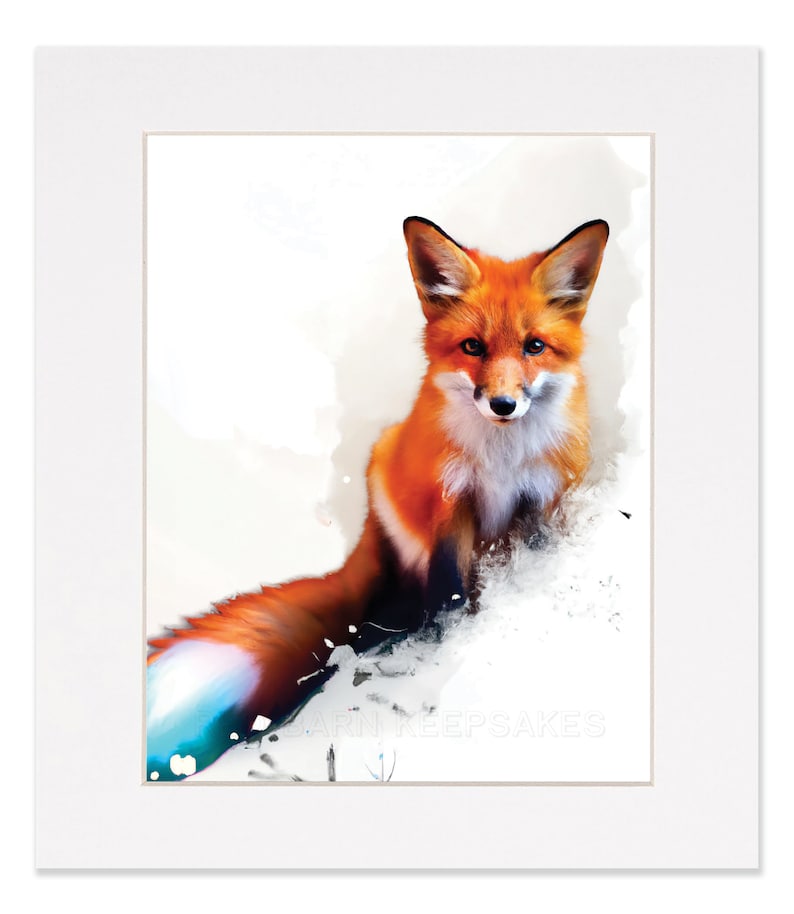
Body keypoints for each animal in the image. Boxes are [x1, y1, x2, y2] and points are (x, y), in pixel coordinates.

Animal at [146, 215, 609, 781]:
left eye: (534, 347)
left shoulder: (544, 503)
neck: (501, 459)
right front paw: (449, 650)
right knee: (389, 614)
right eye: (473, 347)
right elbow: (449, 596)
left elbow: (535, 564)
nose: (503, 404)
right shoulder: (450, 506)